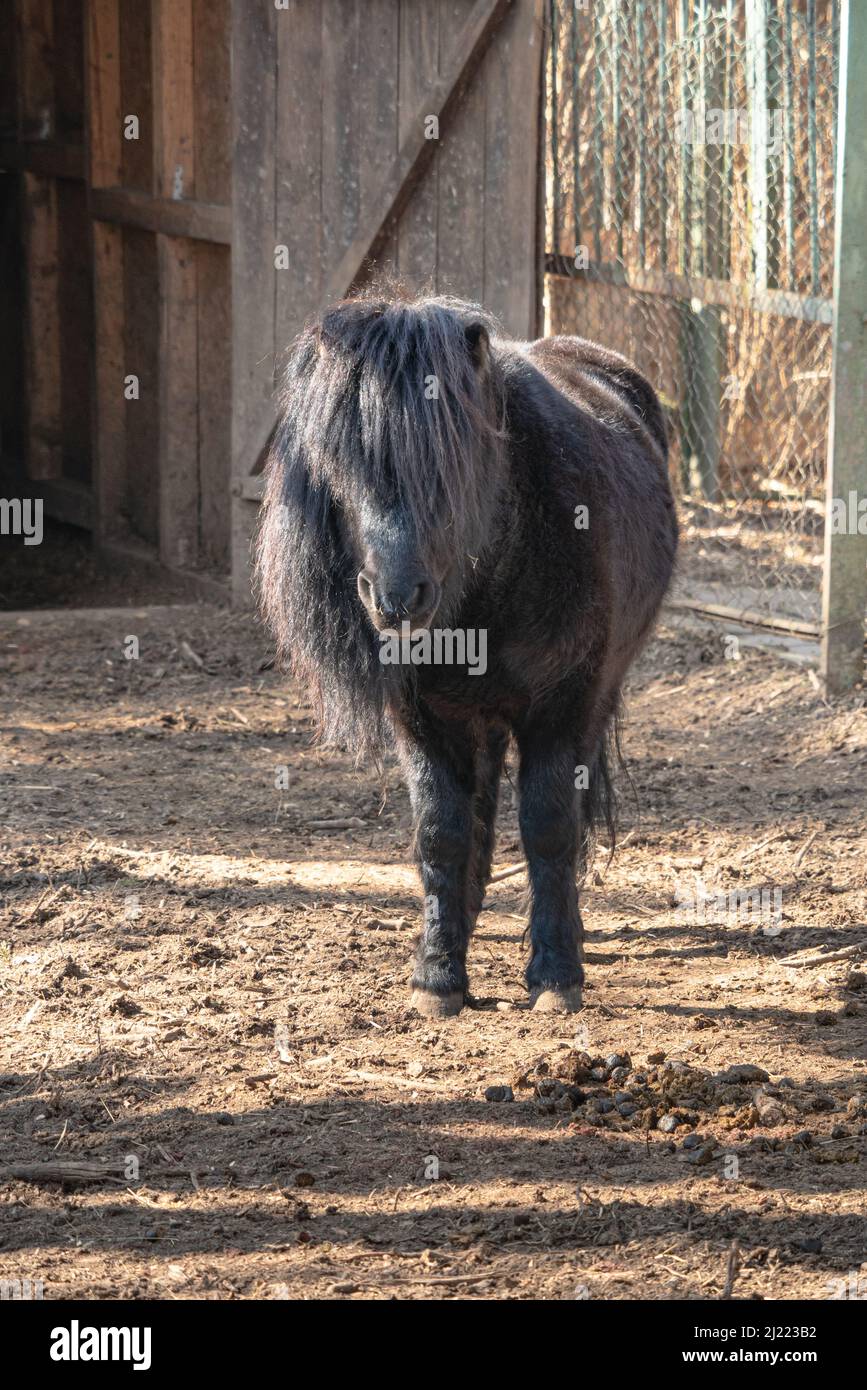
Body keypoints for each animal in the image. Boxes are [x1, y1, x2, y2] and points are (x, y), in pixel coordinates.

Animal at [255, 292, 677, 1017]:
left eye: (452, 462)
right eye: (340, 460)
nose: (398, 598)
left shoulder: (562, 707)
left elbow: (548, 826)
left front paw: (556, 974)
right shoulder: (422, 717)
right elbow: (442, 831)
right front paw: (438, 973)